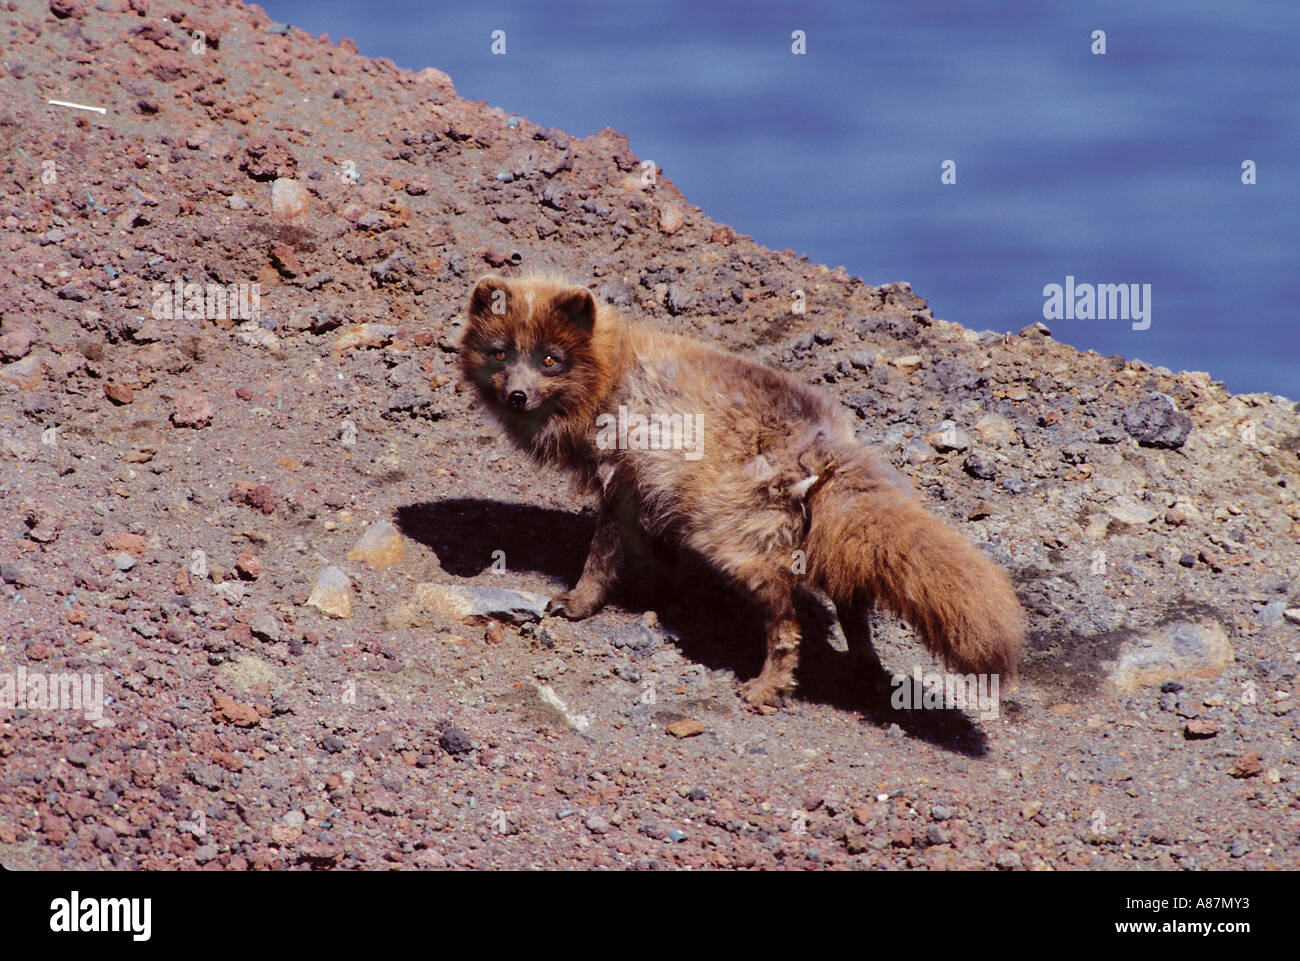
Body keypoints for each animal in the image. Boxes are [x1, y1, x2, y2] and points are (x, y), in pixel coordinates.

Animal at [459, 273, 1024, 710]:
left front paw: (579, 603)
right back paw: (865, 670)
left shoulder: (620, 484)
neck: (611, 377)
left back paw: (766, 688)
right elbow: (657, 554)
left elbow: (602, 557)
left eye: (551, 360)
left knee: (789, 626)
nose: (517, 394)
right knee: (853, 606)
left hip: (734, 542)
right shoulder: (653, 493)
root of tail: (826, 443)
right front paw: (662, 593)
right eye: (500, 353)